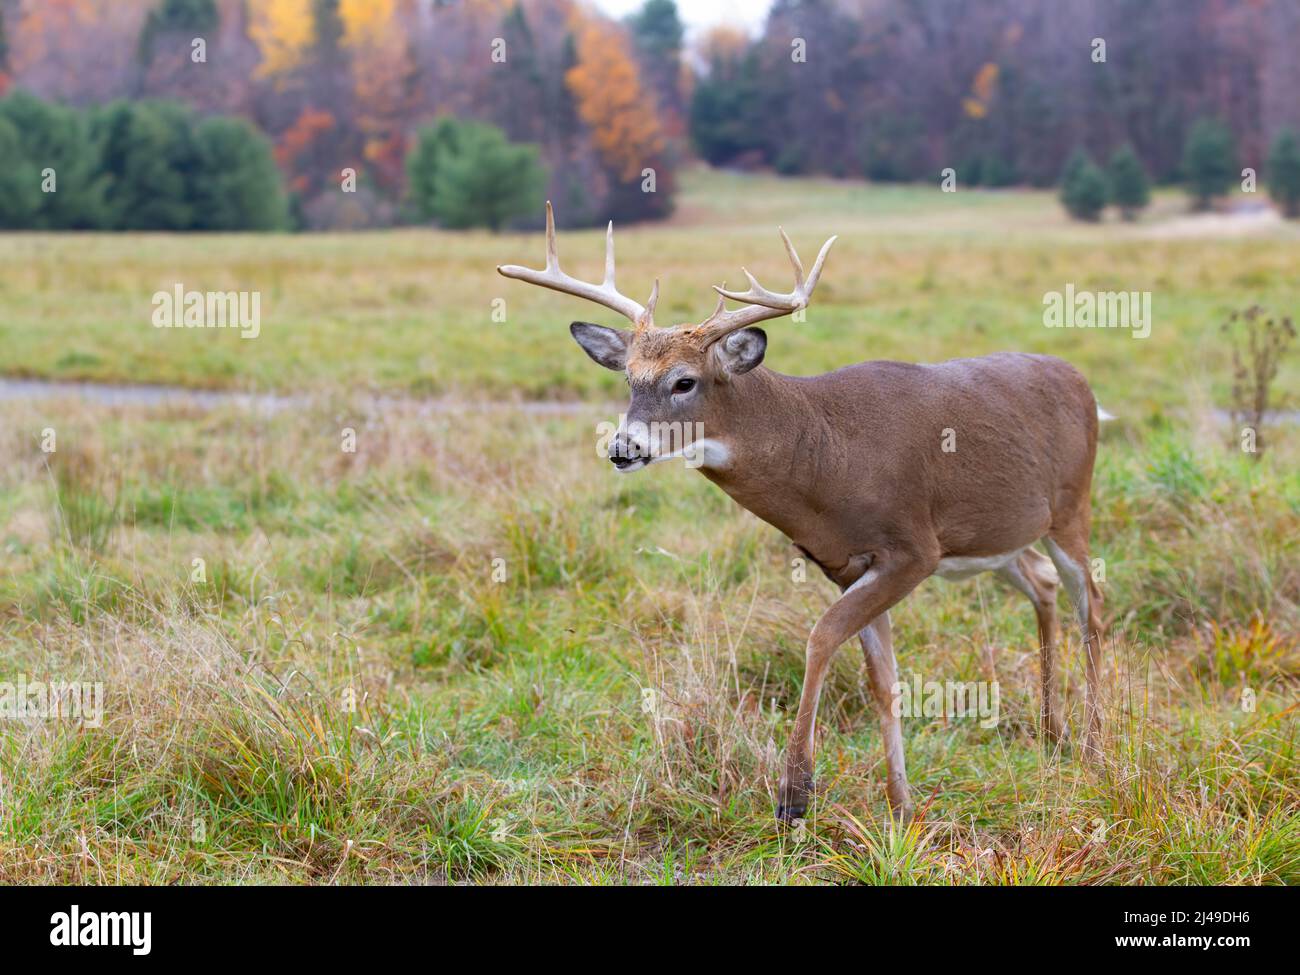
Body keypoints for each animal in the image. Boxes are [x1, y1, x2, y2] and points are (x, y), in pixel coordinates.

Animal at [498, 202, 1107, 822]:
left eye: (684, 381)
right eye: (628, 380)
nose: (623, 448)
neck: (826, 454)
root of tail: (1079, 378)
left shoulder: (914, 547)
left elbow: (820, 637)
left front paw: (795, 791)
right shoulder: (844, 563)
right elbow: (882, 679)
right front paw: (902, 807)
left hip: (1071, 506)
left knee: (1093, 605)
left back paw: (1093, 747)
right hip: (999, 538)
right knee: (1043, 583)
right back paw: (1053, 733)